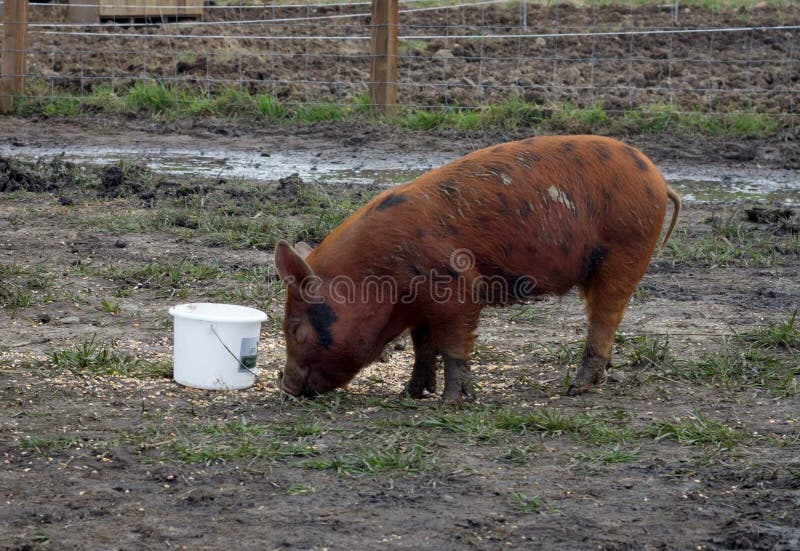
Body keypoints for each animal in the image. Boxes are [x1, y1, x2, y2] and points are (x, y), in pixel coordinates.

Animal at [274, 135, 680, 403]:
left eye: (295, 329)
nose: (286, 386)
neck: (379, 275)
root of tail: (658, 179)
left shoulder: (457, 288)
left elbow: (453, 345)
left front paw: (452, 401)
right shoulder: (420, 307)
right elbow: (423, 347)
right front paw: (411, 394)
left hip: (624, 251)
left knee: (604, 318)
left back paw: (575, 388)